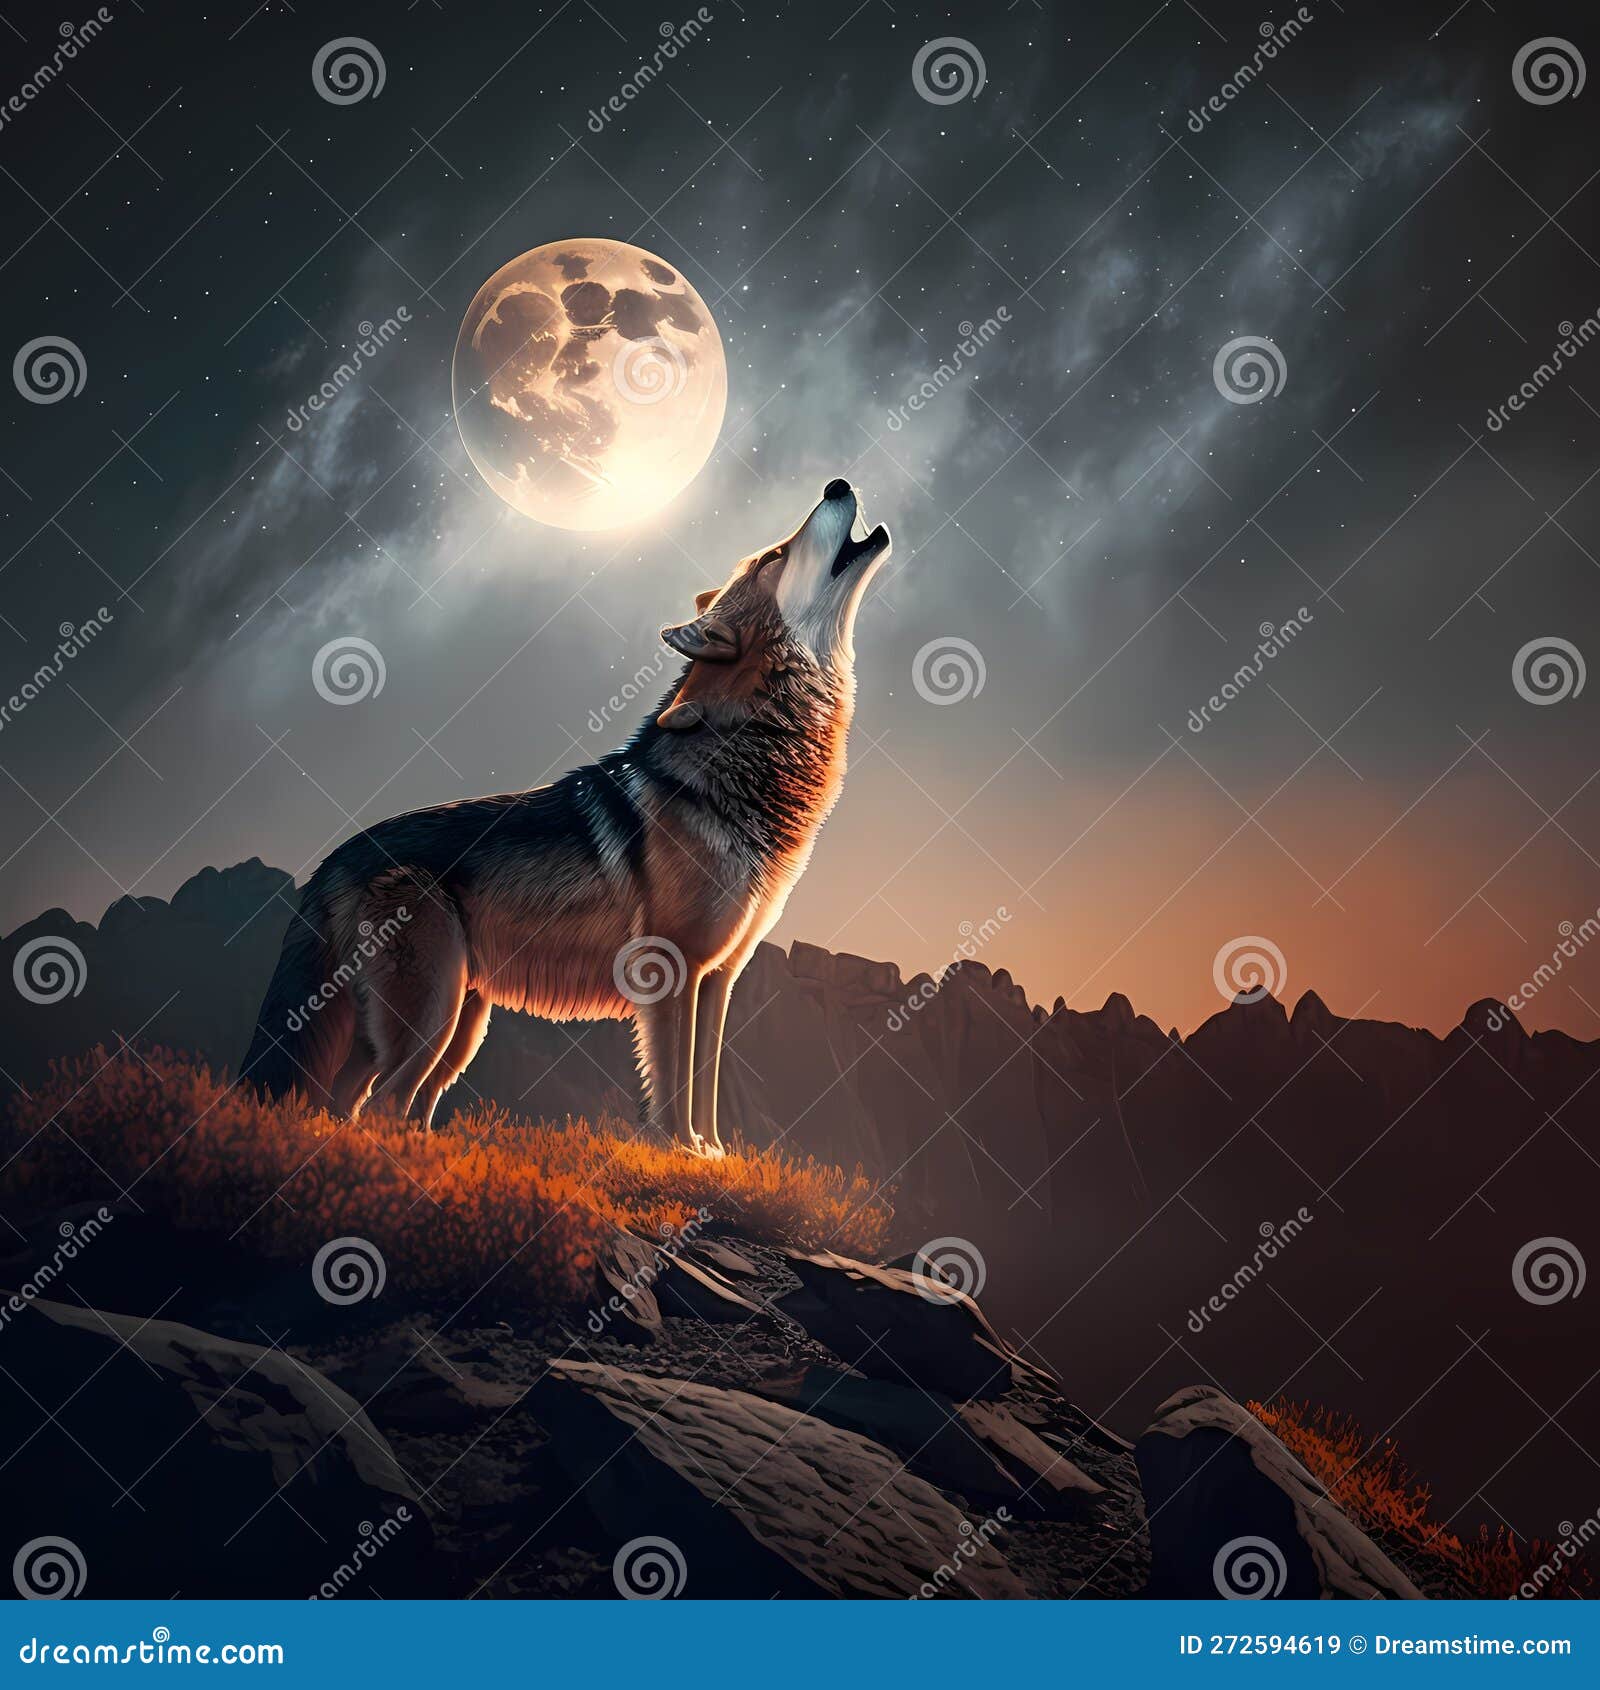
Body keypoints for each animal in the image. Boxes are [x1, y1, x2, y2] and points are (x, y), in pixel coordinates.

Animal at [240, 480, 891, 1155]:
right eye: (775, 557)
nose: (836, 484)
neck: (744, 764)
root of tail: (333, 858)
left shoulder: (720, 978)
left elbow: (706, 1085)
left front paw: (710, 1155)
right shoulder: (674, 971)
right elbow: (673, 1085)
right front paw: (677, 1151)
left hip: (457, 1026)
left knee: (359, 1100)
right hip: (434, 1021)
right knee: (381, 1103)